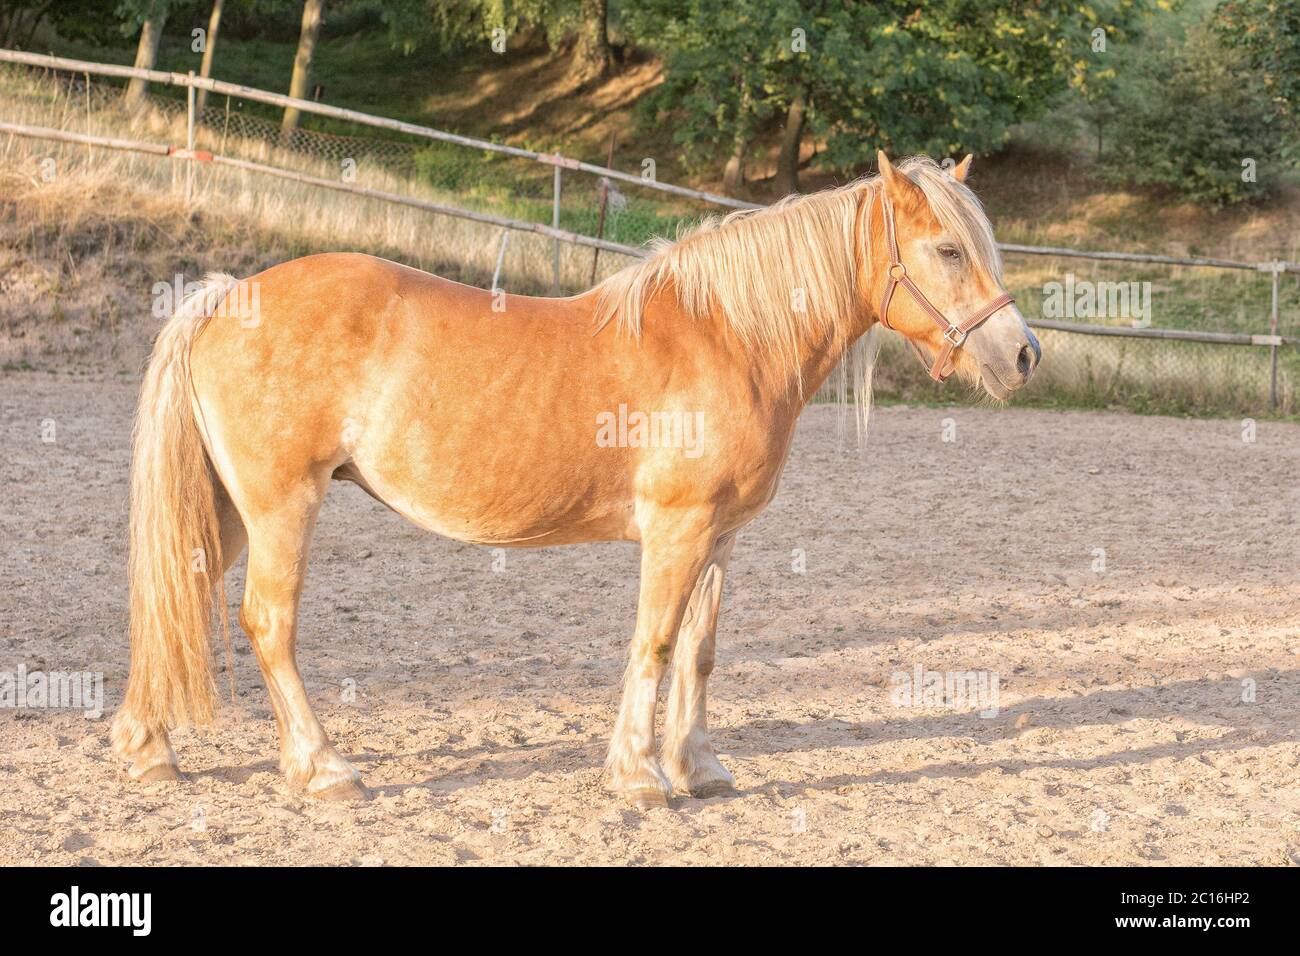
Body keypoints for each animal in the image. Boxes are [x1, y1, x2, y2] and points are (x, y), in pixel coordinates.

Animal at [111, 152, 1040, 808]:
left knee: (178, 596)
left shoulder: (721, 537)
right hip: (282, 506)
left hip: (231, 510)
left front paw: (697, 767)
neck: (729, 336)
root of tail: (231, 295)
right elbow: (655, 643)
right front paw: (638, 777)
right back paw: (324, 768)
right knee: (268, 623)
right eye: (947, 249)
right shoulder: (677, 528)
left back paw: (147, 748)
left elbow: (700, 651)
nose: (1023, 354)